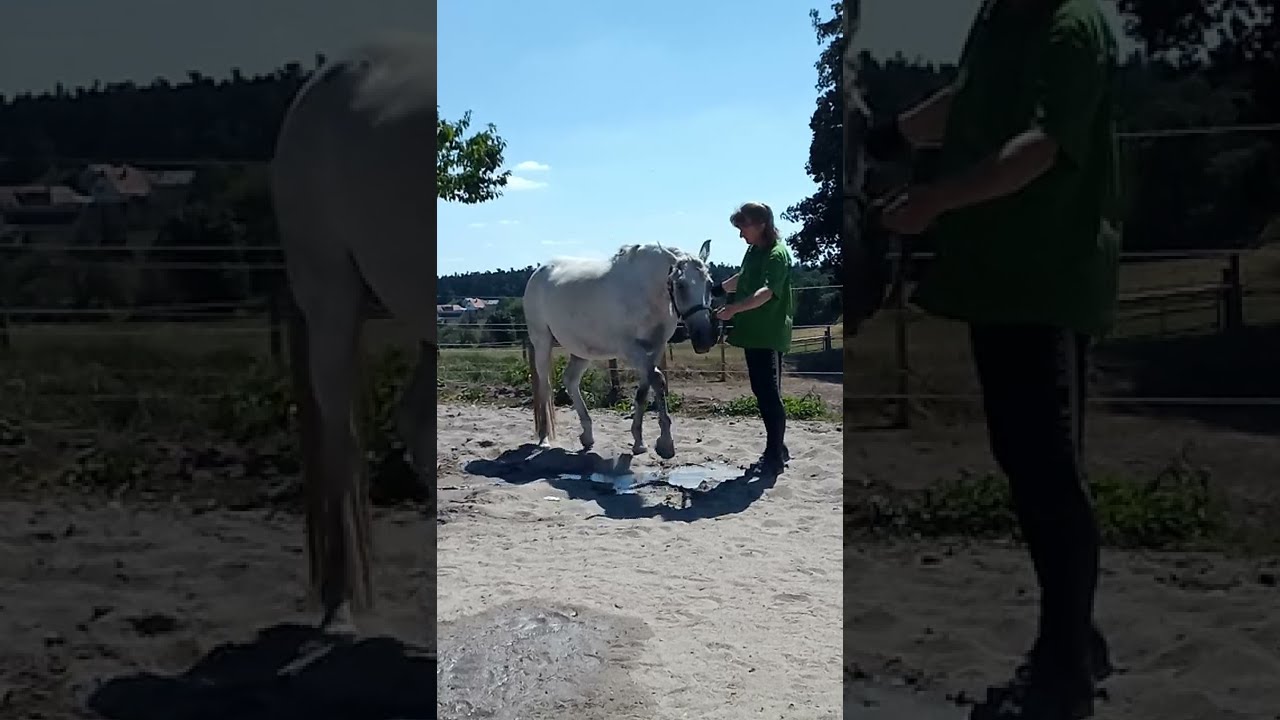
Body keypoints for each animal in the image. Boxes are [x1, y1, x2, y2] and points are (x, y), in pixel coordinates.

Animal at [523, 240, 718, 459]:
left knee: (570, 380)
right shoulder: (630, 350)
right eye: (681, 285)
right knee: (545, 388)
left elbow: (645, 390)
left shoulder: (656, 348)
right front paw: (665, 443)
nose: (704, 339)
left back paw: (587, 436)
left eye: (710, 284)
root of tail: (539, 271)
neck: (644, 291)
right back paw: (544, 439)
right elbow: (657, 380)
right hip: (542, 341)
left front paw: (640, 442)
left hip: (582, 349)